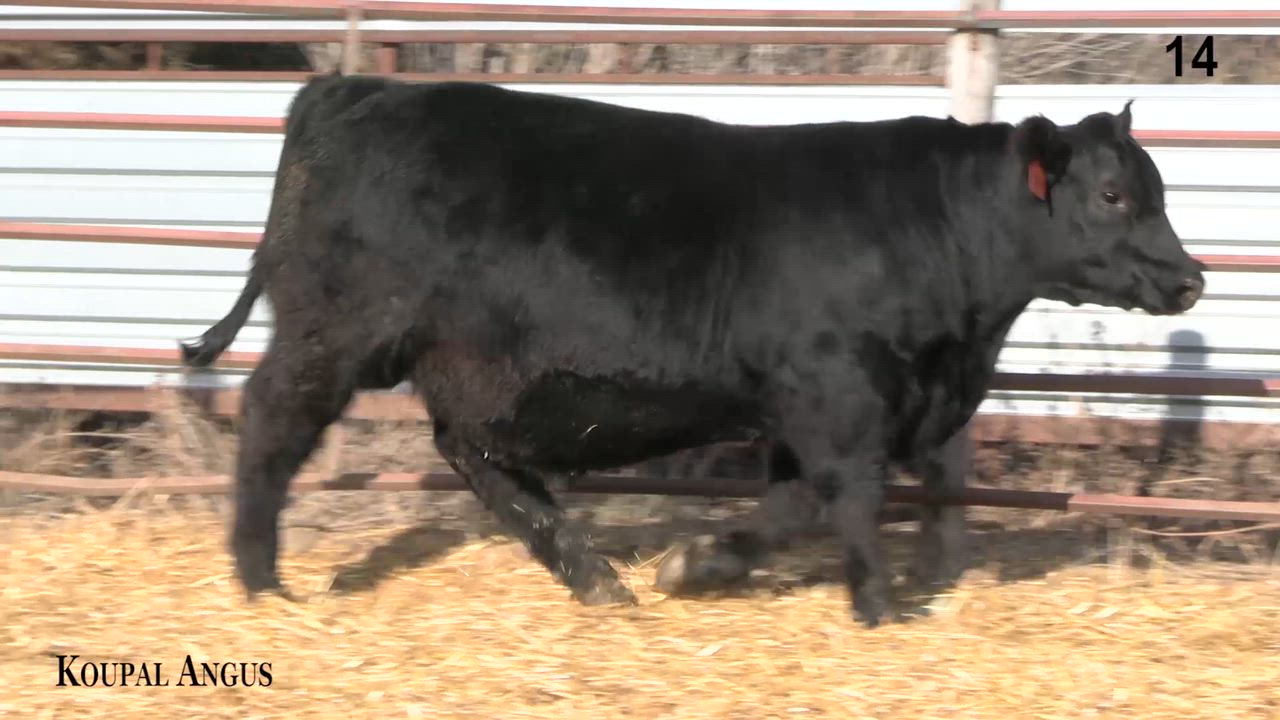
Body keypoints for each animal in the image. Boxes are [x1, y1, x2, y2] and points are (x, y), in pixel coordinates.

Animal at [181, 73, 1204, 627]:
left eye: (1153, 189)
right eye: (1114, 195)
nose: (1190, 279)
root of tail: (355, 89)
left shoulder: (814, 411)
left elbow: (790, 506)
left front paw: (697, 565)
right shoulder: (839, 396)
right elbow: (851, 499)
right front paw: (876, 604)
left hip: (474, 372)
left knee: (478, 457)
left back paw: (595, 579)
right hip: (335, 331)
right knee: (272, 422)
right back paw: (260, 580)